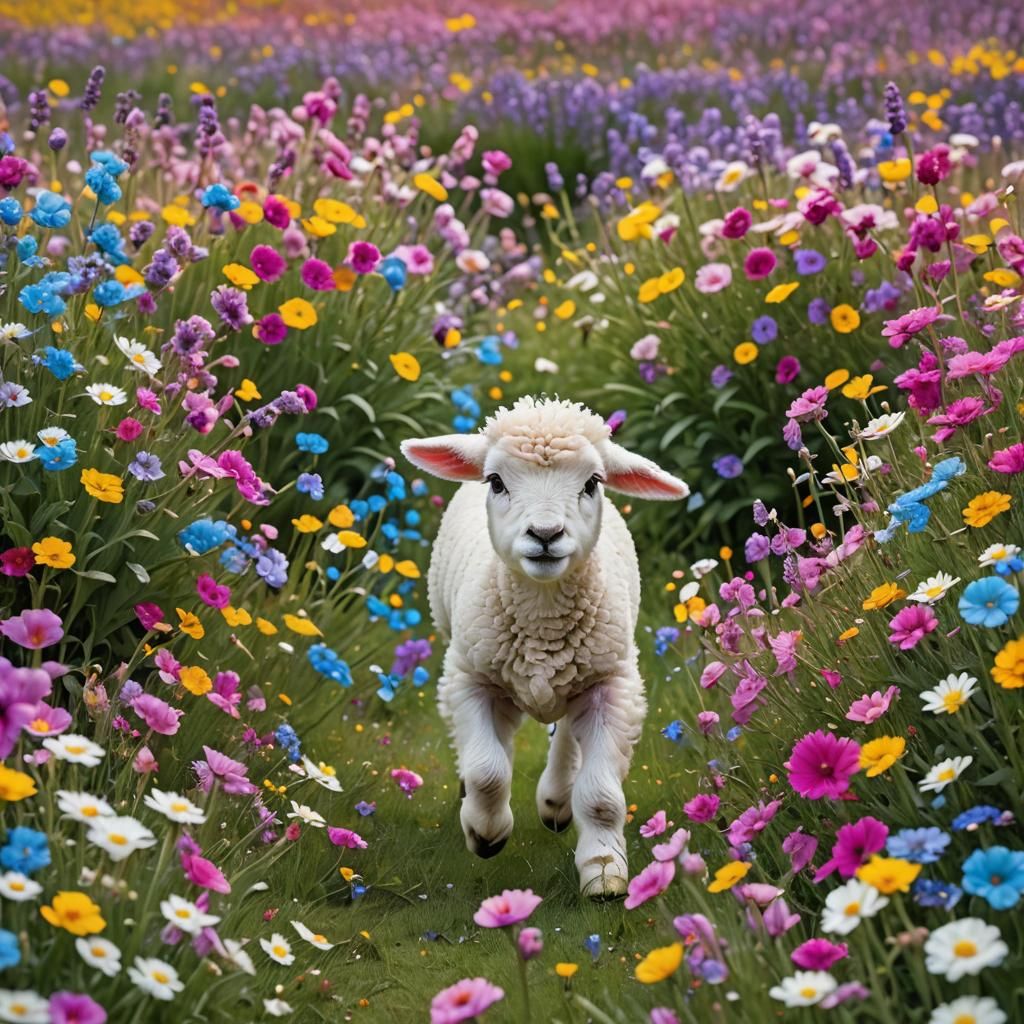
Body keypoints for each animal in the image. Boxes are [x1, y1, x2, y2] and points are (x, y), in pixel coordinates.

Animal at [401, 397, 688, 897]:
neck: (542, 612)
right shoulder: (468, 680)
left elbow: (602, 796)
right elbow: (488, 770)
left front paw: (603, 870)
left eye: (592, 483)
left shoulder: (612, 687)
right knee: (497, 745)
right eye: (496, 481)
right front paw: (486, 832)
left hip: (580, 674)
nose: (546, 534)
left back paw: (556, 800)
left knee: (566, 735)